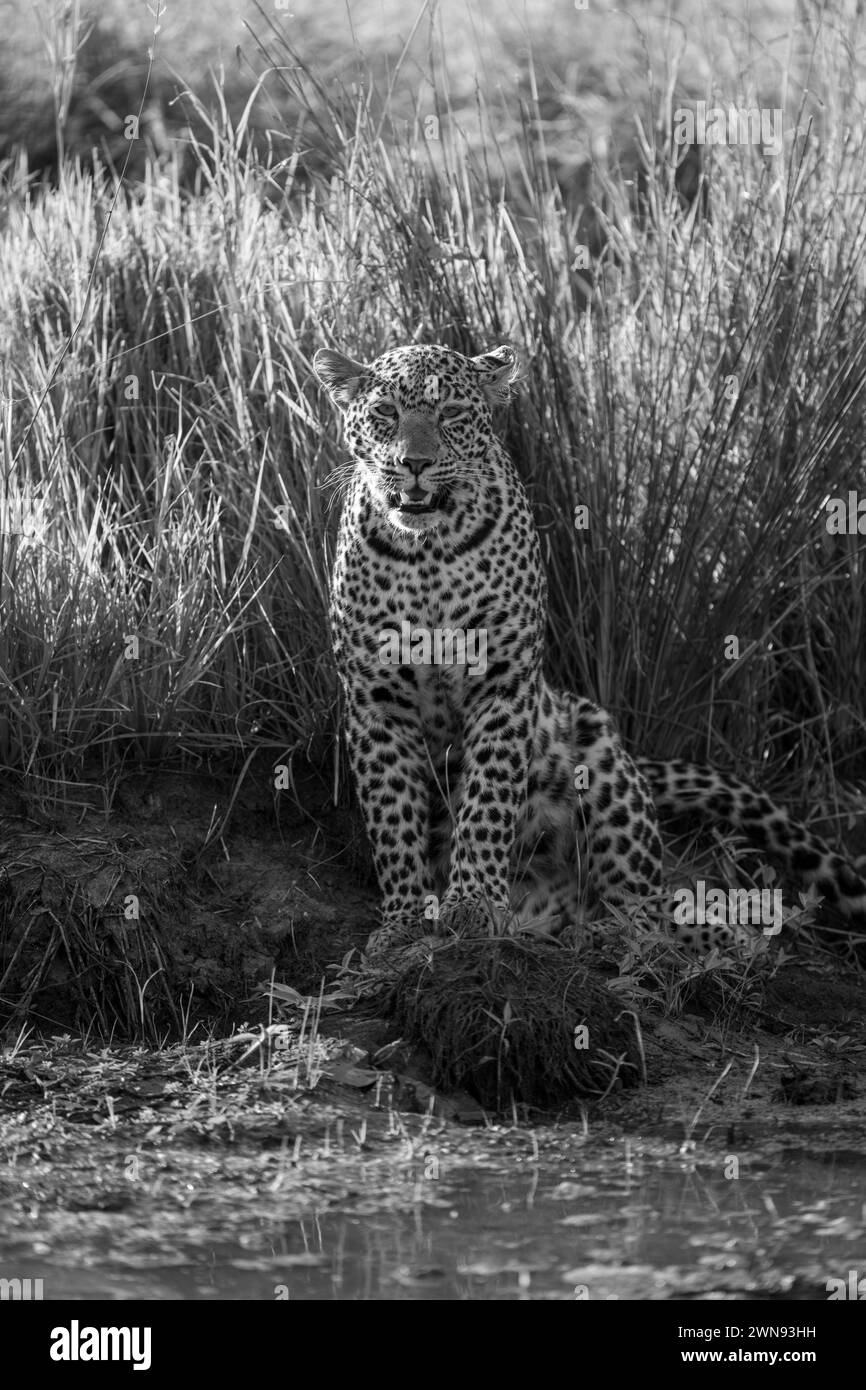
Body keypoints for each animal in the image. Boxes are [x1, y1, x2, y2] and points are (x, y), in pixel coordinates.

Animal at [313, 341, 866, 960]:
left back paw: (664, 939)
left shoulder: (503, 683)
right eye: (385, 412)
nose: (414, 463)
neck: (426, 550)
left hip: (599, 754)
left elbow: (487, 801)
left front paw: (473, 904)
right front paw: (405, 921)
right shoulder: (375, 700)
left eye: (452, 413)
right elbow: (392, 819)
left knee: (649, 911)